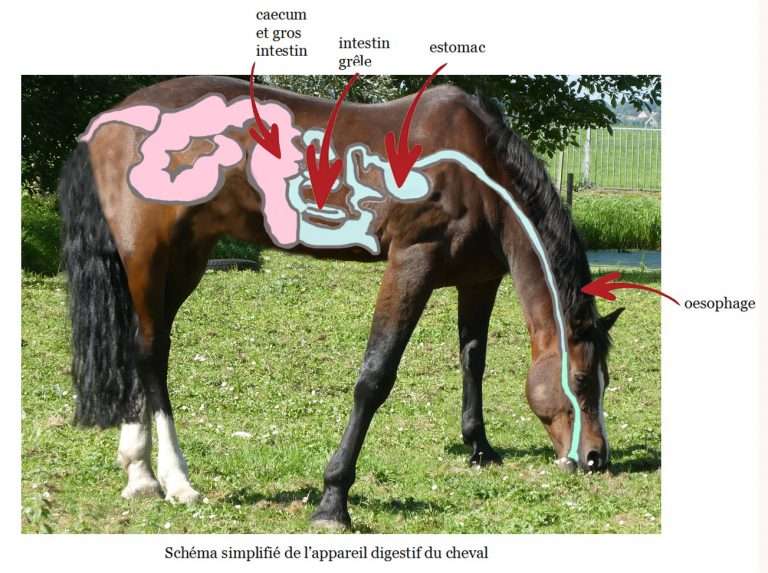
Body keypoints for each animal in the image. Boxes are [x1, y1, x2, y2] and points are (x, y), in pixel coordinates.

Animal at [58, 75, 624, 530]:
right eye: (579, 380)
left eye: (604, 379)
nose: (597, 458)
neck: (476, 169)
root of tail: (106, 124)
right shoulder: (411, 263)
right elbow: (374, 378)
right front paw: (333, 500)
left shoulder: (478, 280)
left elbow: (473, 359)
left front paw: (479, 447)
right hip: (148, 257)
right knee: (151, 352)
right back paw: (176, 480)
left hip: (187, 258)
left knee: (140, 348)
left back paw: (140, 474)